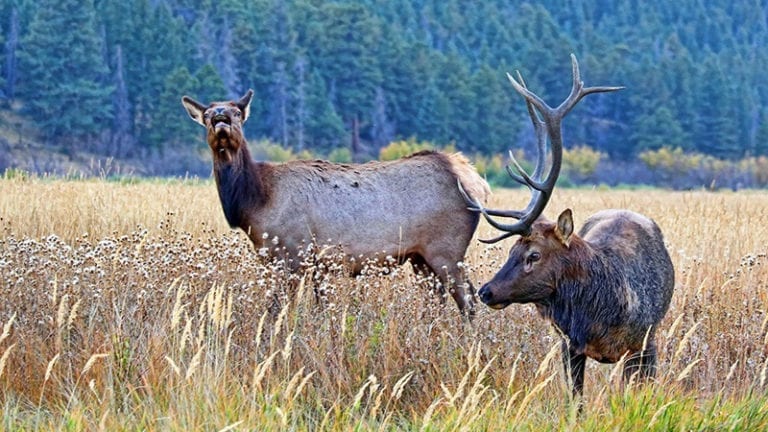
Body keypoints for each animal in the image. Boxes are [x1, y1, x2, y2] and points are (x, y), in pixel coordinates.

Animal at [181, 90, 490, 316]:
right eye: (207, 114)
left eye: (237, 112)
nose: (220, 117)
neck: (255, 202)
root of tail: (469, 177)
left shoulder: (294, 252)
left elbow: (280, 308)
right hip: (421, 257)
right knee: (437, 299)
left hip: (447, 250)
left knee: (469, 300)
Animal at [460, 54, 674, 398]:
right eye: (511, 251)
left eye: (534, 255)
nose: (486, 291)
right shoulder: (569, 345)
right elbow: (575, 400)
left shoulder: (644, 342)